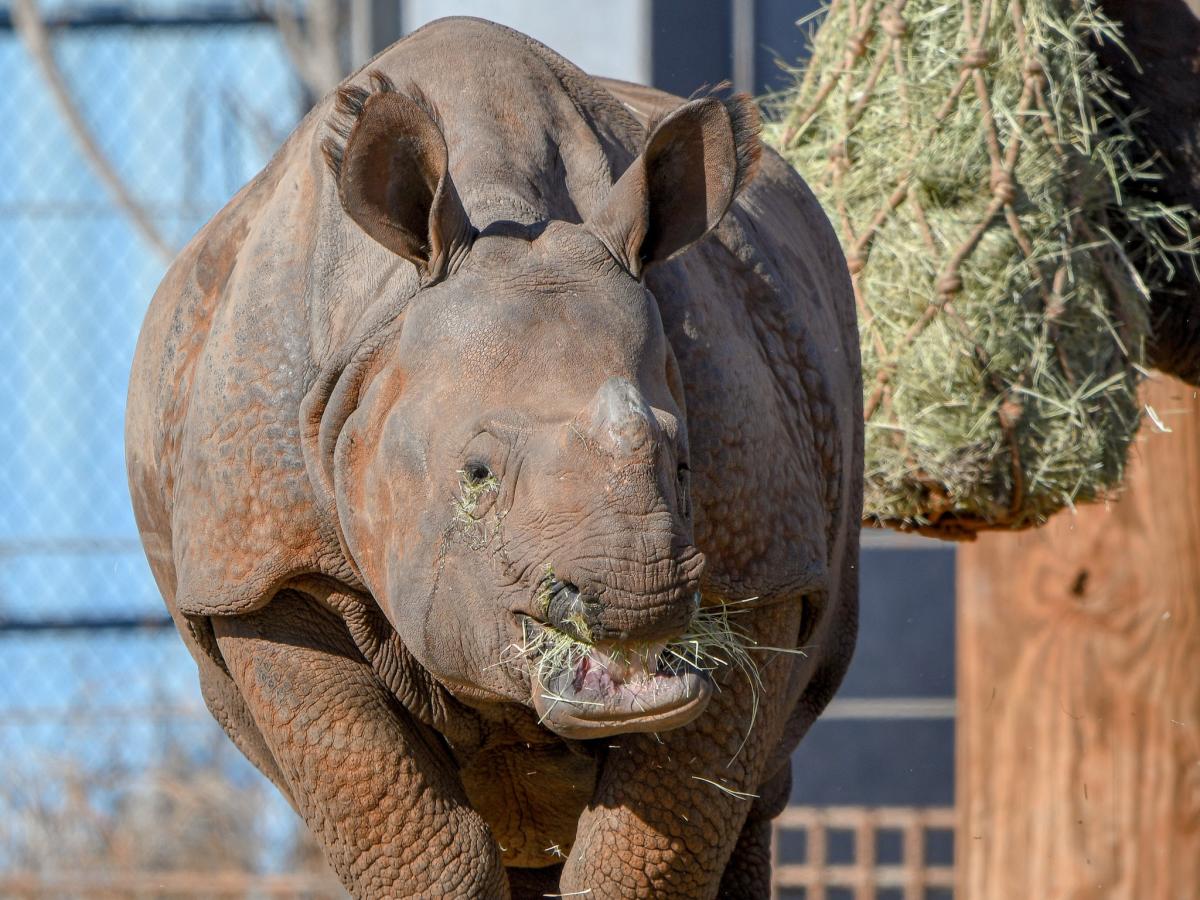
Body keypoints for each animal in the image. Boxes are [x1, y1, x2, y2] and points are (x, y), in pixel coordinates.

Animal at [126, 17, 861, 899]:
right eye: (474, 477)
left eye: (686, 467)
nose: (635, 597)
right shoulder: (260, 571)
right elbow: (414, 841)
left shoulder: (764, 569)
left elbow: (648, 850)